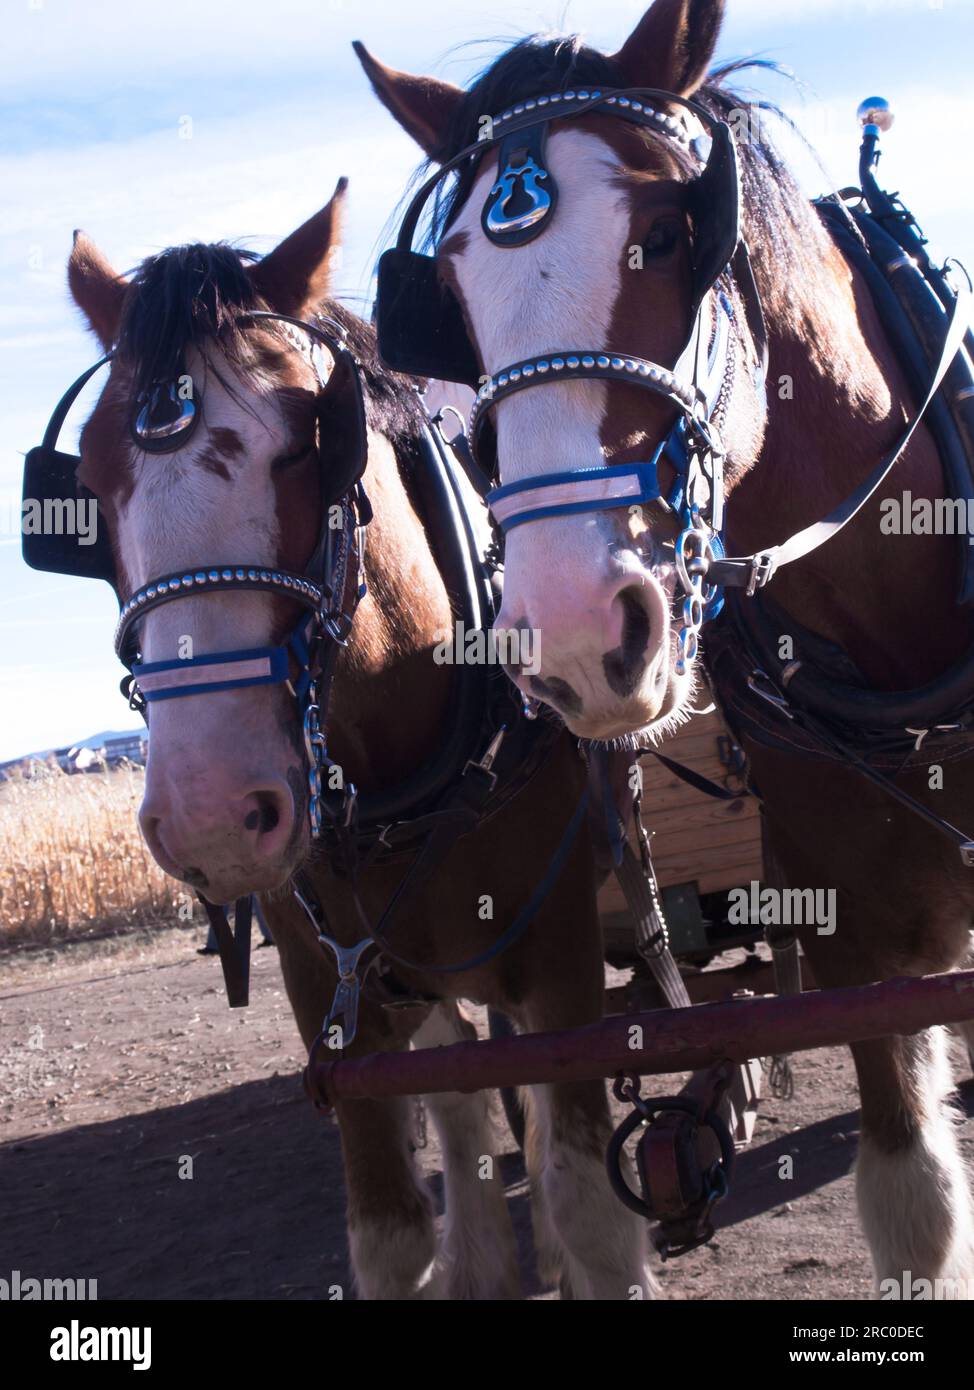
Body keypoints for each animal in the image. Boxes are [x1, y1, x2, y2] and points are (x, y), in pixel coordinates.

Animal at [57, 183, 656, 1300]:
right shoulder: (324, 989)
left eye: (307, 445)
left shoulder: (558, 955)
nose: (210, 815)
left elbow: (590, 1202)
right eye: (91, 479)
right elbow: (390, 1227)